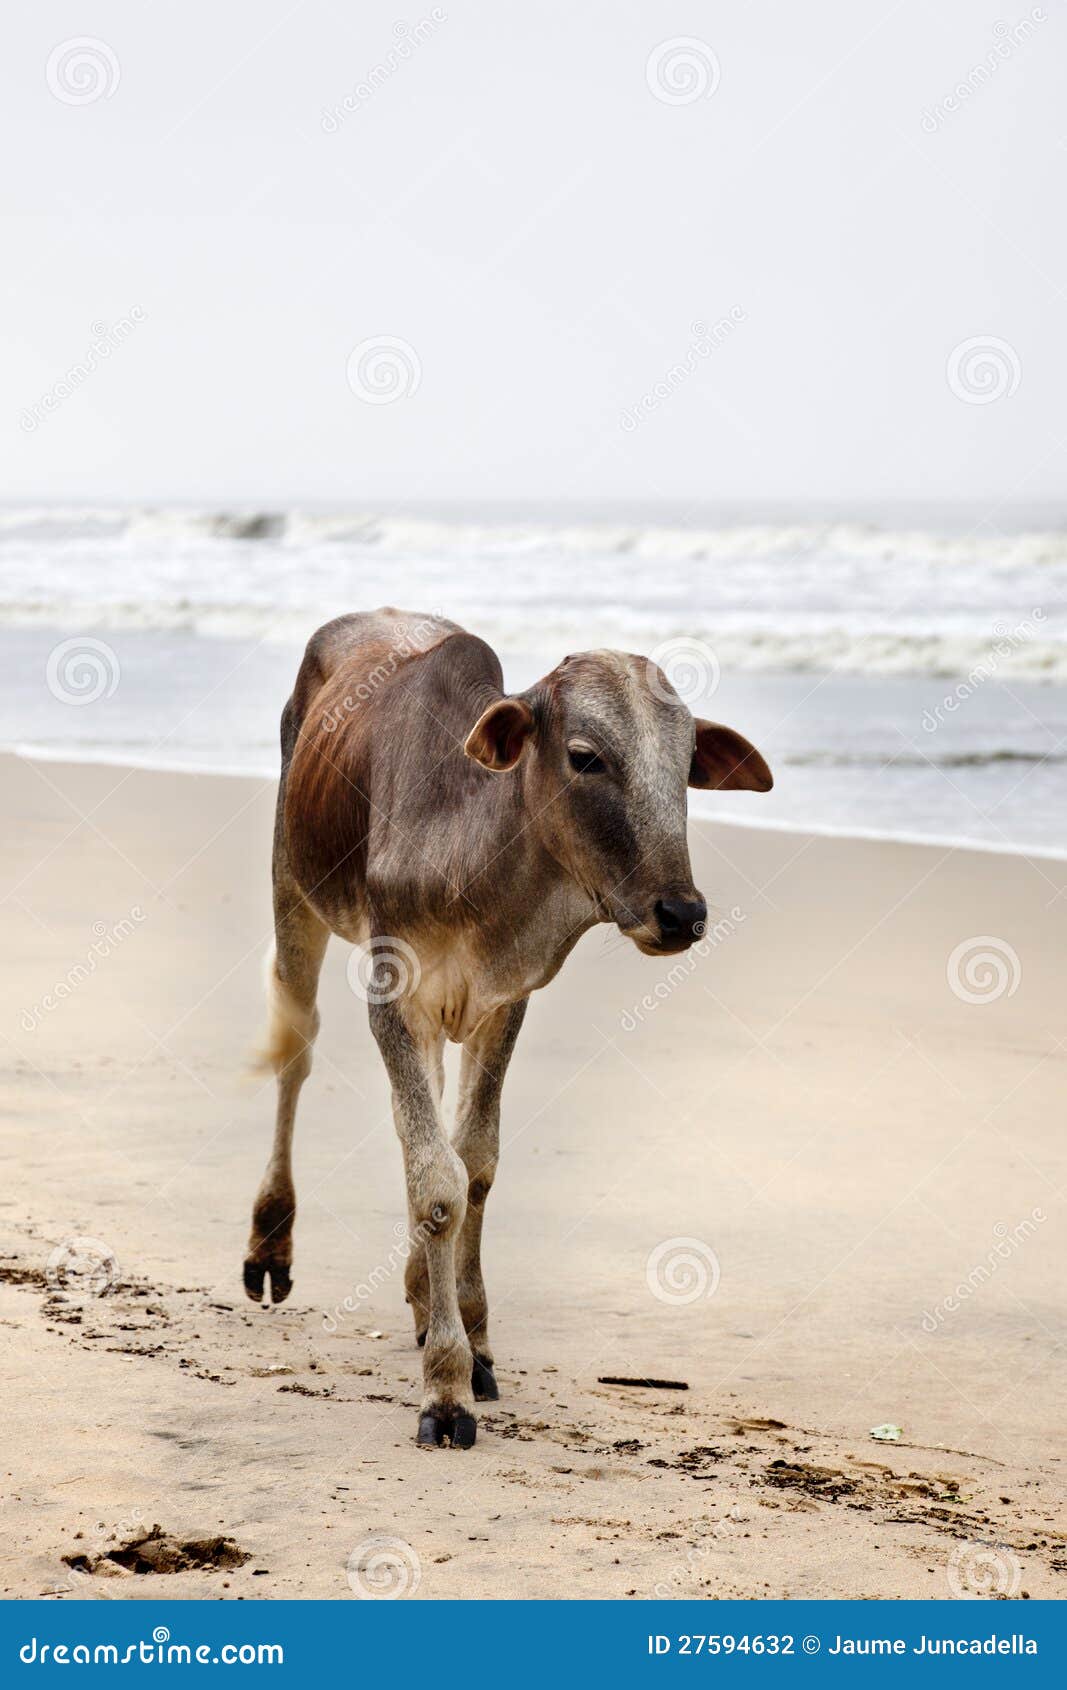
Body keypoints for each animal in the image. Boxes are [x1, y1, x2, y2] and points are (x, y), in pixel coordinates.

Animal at [244, 609, 772, 1447]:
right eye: (585, 757)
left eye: (686, 761)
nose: (681, 912)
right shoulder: (392, 993)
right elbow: (436, 1182)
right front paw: (445, 1389)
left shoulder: (504, 1002)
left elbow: (474, 1166)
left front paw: (474, 1340)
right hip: (291, 887)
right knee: (296, 1056)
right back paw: (270, 1242)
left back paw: (418, 1296)